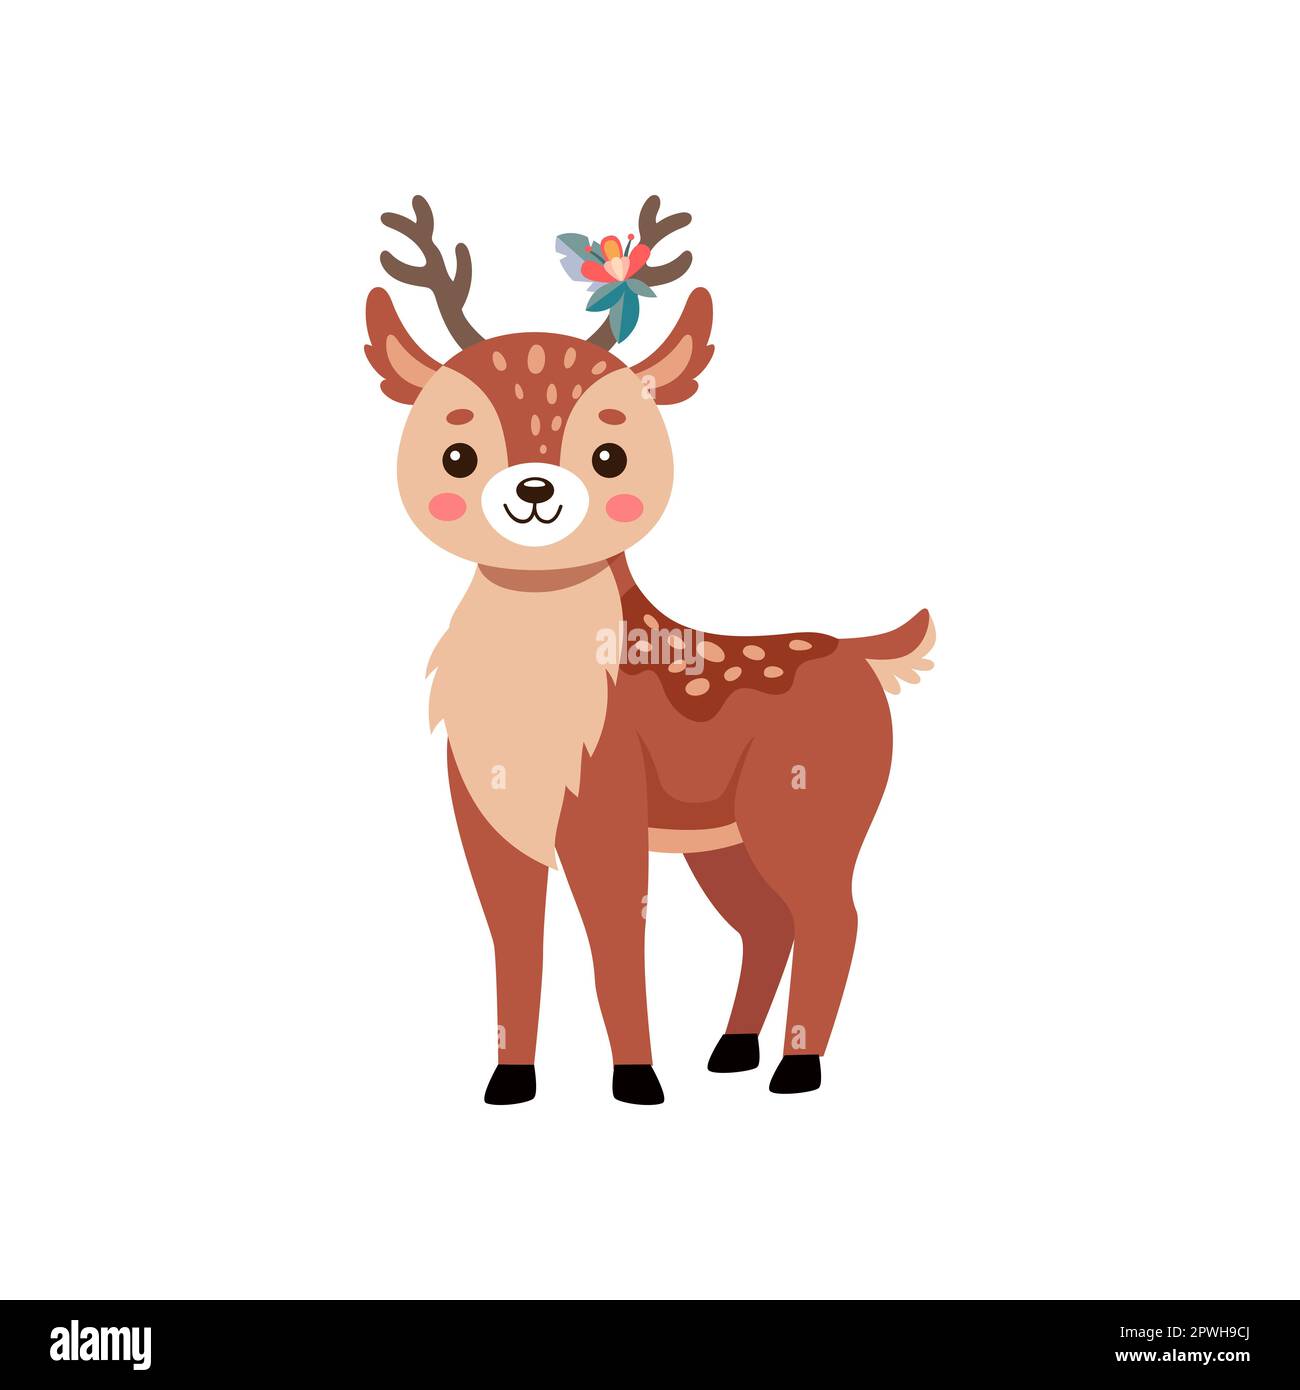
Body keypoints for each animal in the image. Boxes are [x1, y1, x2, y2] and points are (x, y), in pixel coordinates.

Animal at [365, 194, 934, 1105]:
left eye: (610, 454)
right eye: (457, 453)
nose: (534, 491)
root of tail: (865, 651)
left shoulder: (611, 805)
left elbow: (613, 943)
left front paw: (637, 1080)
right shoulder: (486, 818)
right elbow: (514, 946)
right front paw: (509, 1081)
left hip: (808, 808)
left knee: (833, 916)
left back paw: (796, 1068)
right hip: (725, 840)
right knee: (768, 924)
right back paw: (732, 1049)